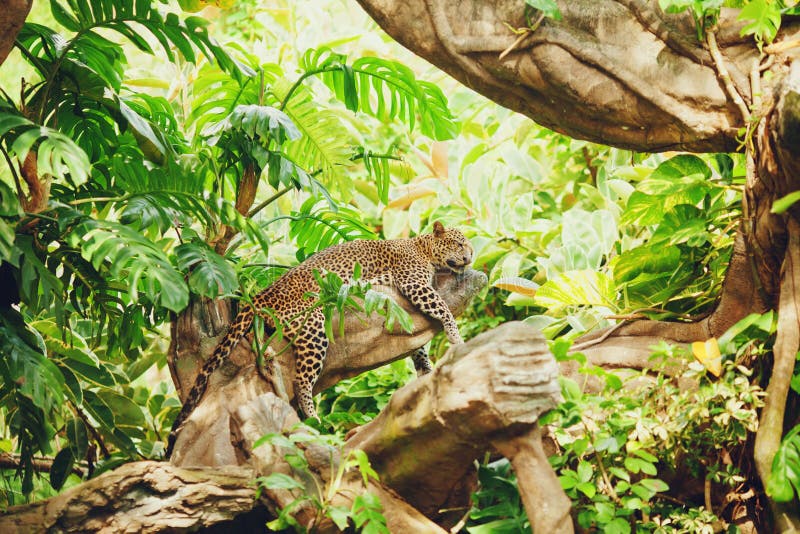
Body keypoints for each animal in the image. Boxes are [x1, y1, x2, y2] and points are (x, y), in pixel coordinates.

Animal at [166, 221, 473, 458]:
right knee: (301, 380)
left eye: (468, 247)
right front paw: (456, 337)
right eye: (459, 244)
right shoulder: (414, 284)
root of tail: (259, 296)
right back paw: (313, 420)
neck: (422, 247)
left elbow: (417, 347)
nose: (470, 257)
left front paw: (426, 370)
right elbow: (443, 309)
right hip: (313, 327)